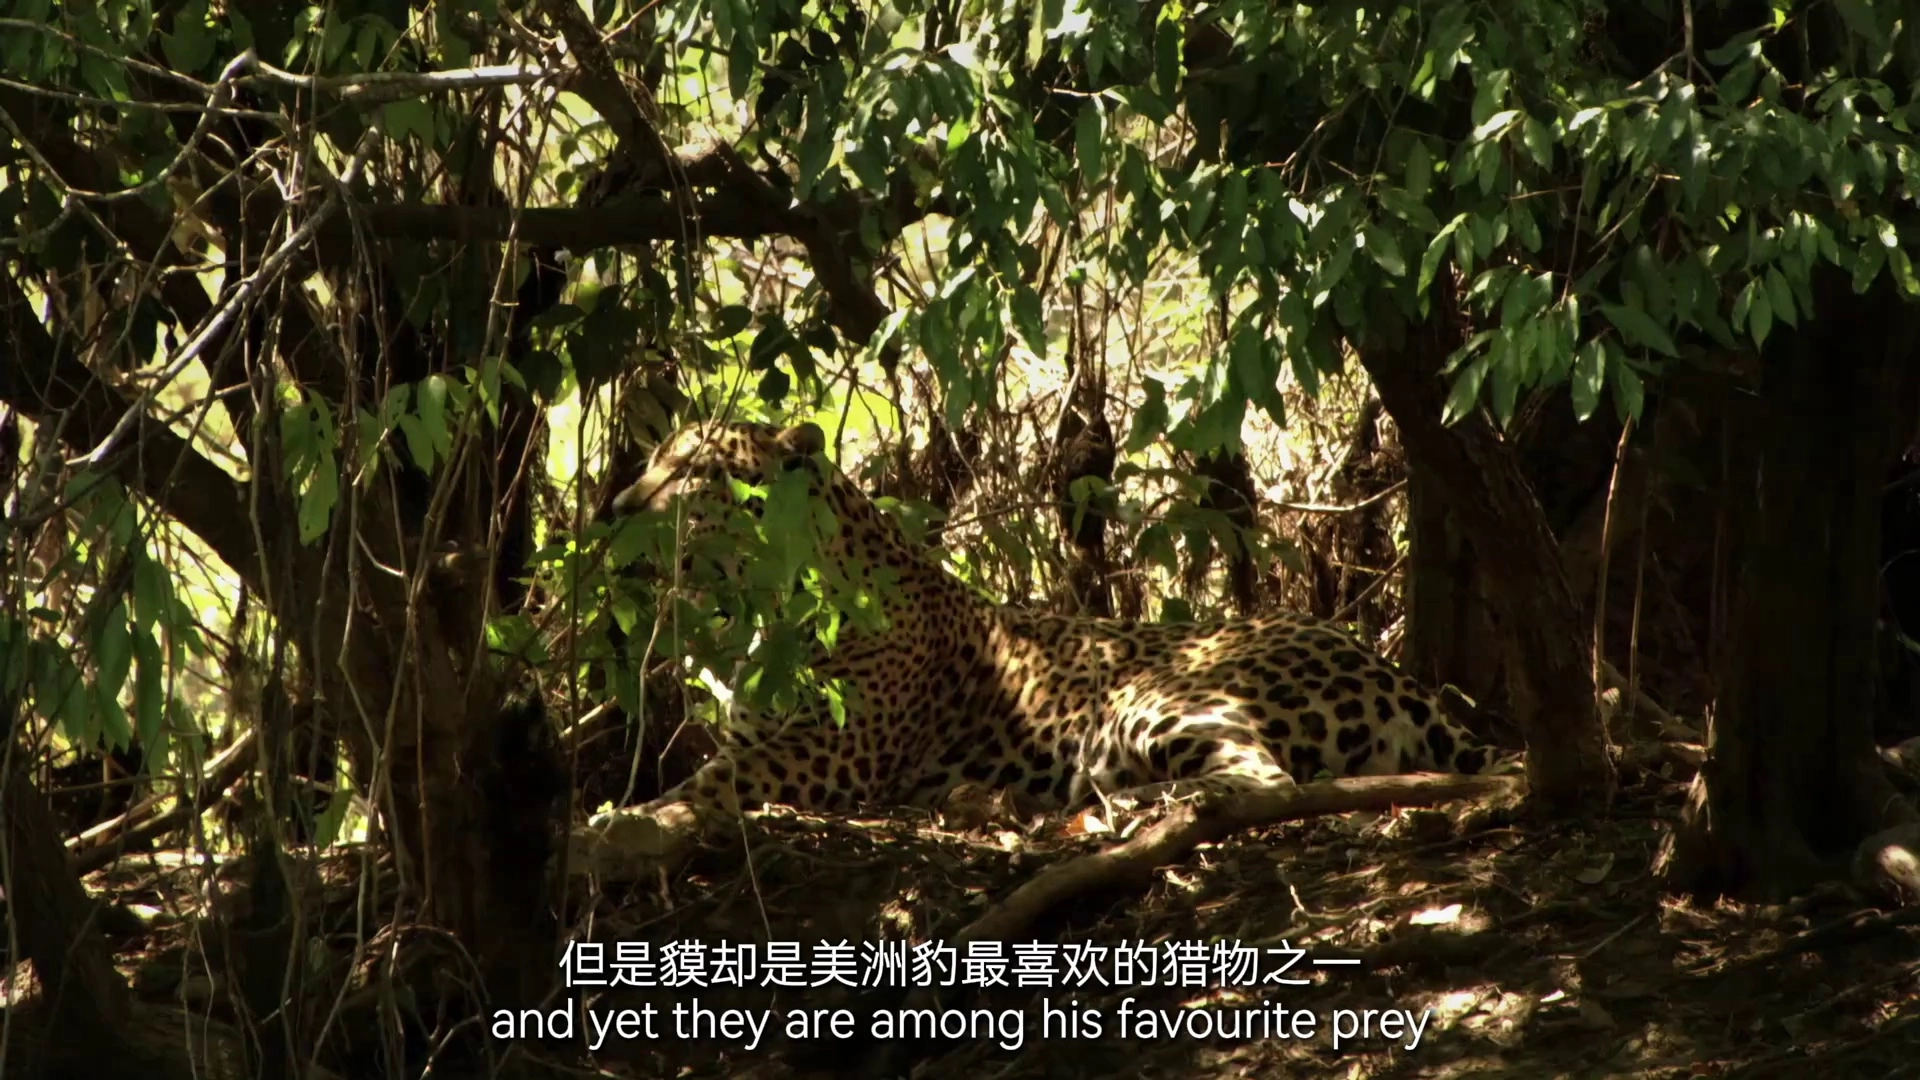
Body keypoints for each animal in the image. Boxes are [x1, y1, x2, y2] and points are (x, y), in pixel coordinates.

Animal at [608, 418, 1508, 819]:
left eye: (698, 472)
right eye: (652, 459)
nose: (616, 509)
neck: (764, 617)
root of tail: (1403, 681)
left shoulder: (834, 750)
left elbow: (716, 782)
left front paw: (631, 817)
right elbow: (722, 765)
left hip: (1155, 696)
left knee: (1260, 780)